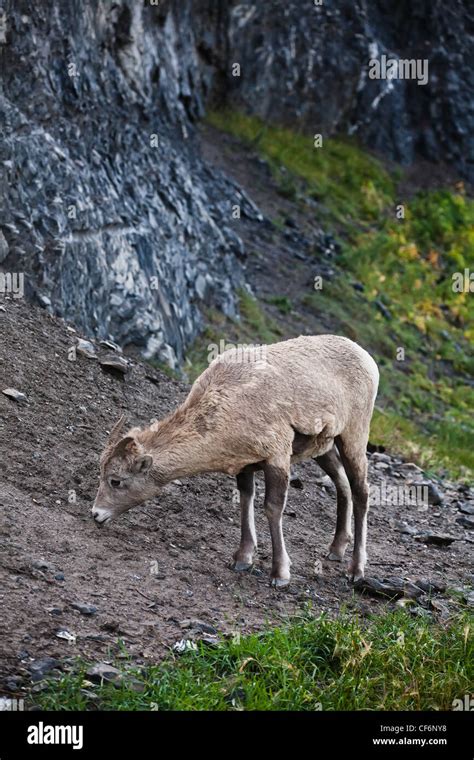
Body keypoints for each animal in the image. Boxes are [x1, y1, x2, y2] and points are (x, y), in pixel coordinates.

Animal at [92, 335, 379, 587]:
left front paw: (280, 574)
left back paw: (356, 571)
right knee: (342, 484)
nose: (96, 514)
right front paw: (242, 559)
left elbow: (272, 509)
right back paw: (335, 550)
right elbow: (245, 501)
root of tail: (367, 359)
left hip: (353, 436)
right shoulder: (245, 465)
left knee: (361, 491)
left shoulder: (277, 456)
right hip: (324, 448)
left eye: (116, 481)